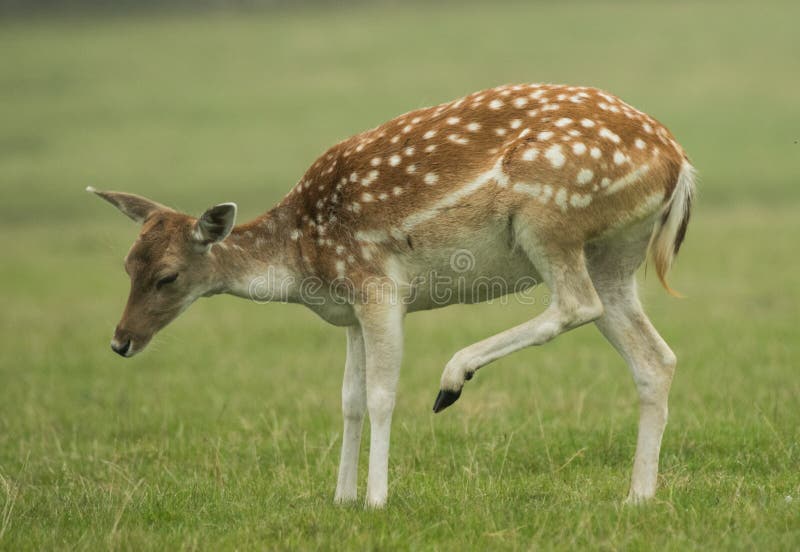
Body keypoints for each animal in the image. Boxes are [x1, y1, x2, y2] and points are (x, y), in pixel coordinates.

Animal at [88, 83, 695, 508]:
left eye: (167, 277)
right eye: (127, 264)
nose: (120, 341)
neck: (302, 260)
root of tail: (679, 164)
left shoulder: (377, 285)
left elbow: (381, 395)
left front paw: (376, 499)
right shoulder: (351, 312)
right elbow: (349, 400)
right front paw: (341, 497)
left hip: (550, 218)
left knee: (576, 304)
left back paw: (452, 380)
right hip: (615, 254)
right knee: (655, 357)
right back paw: (638, 496)